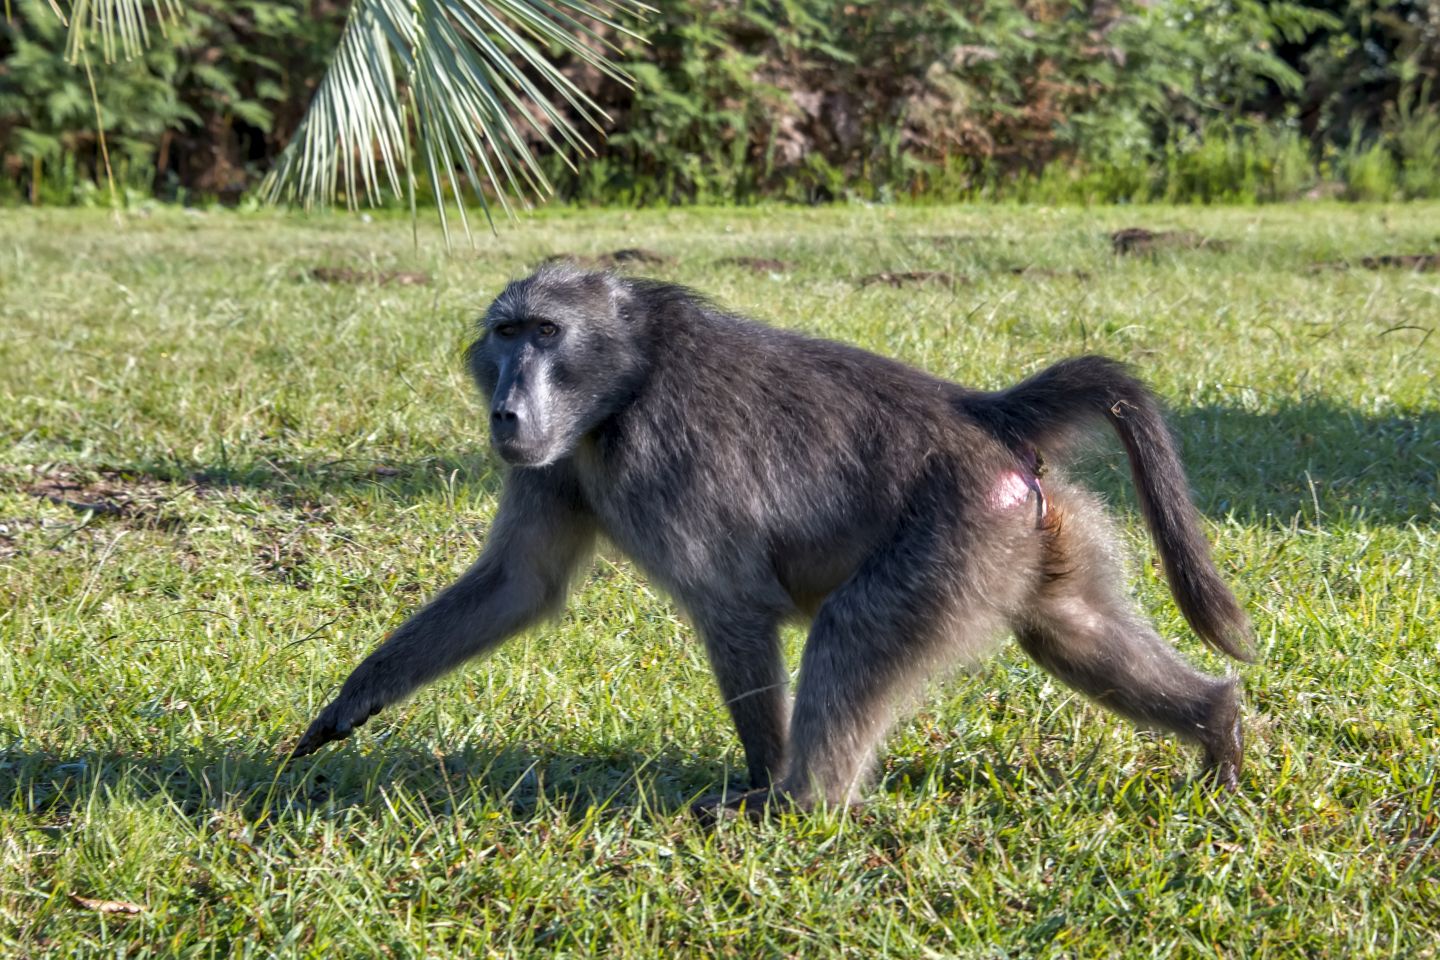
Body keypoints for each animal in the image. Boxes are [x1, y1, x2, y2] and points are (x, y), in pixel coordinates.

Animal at [289, 262, 1253, 817]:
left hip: (956, 535)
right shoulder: (552, 464)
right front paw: (350, 703)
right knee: (1071, 634)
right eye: (504, 334)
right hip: (1031, 532)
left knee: (854, 635)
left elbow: (734, 605)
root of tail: (985, 414)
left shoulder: (675, 458)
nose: (505, 410)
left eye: (547, 333)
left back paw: (795, 810)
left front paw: (757, 782)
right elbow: (517, 584)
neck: (626, 388)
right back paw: (1218, 729)